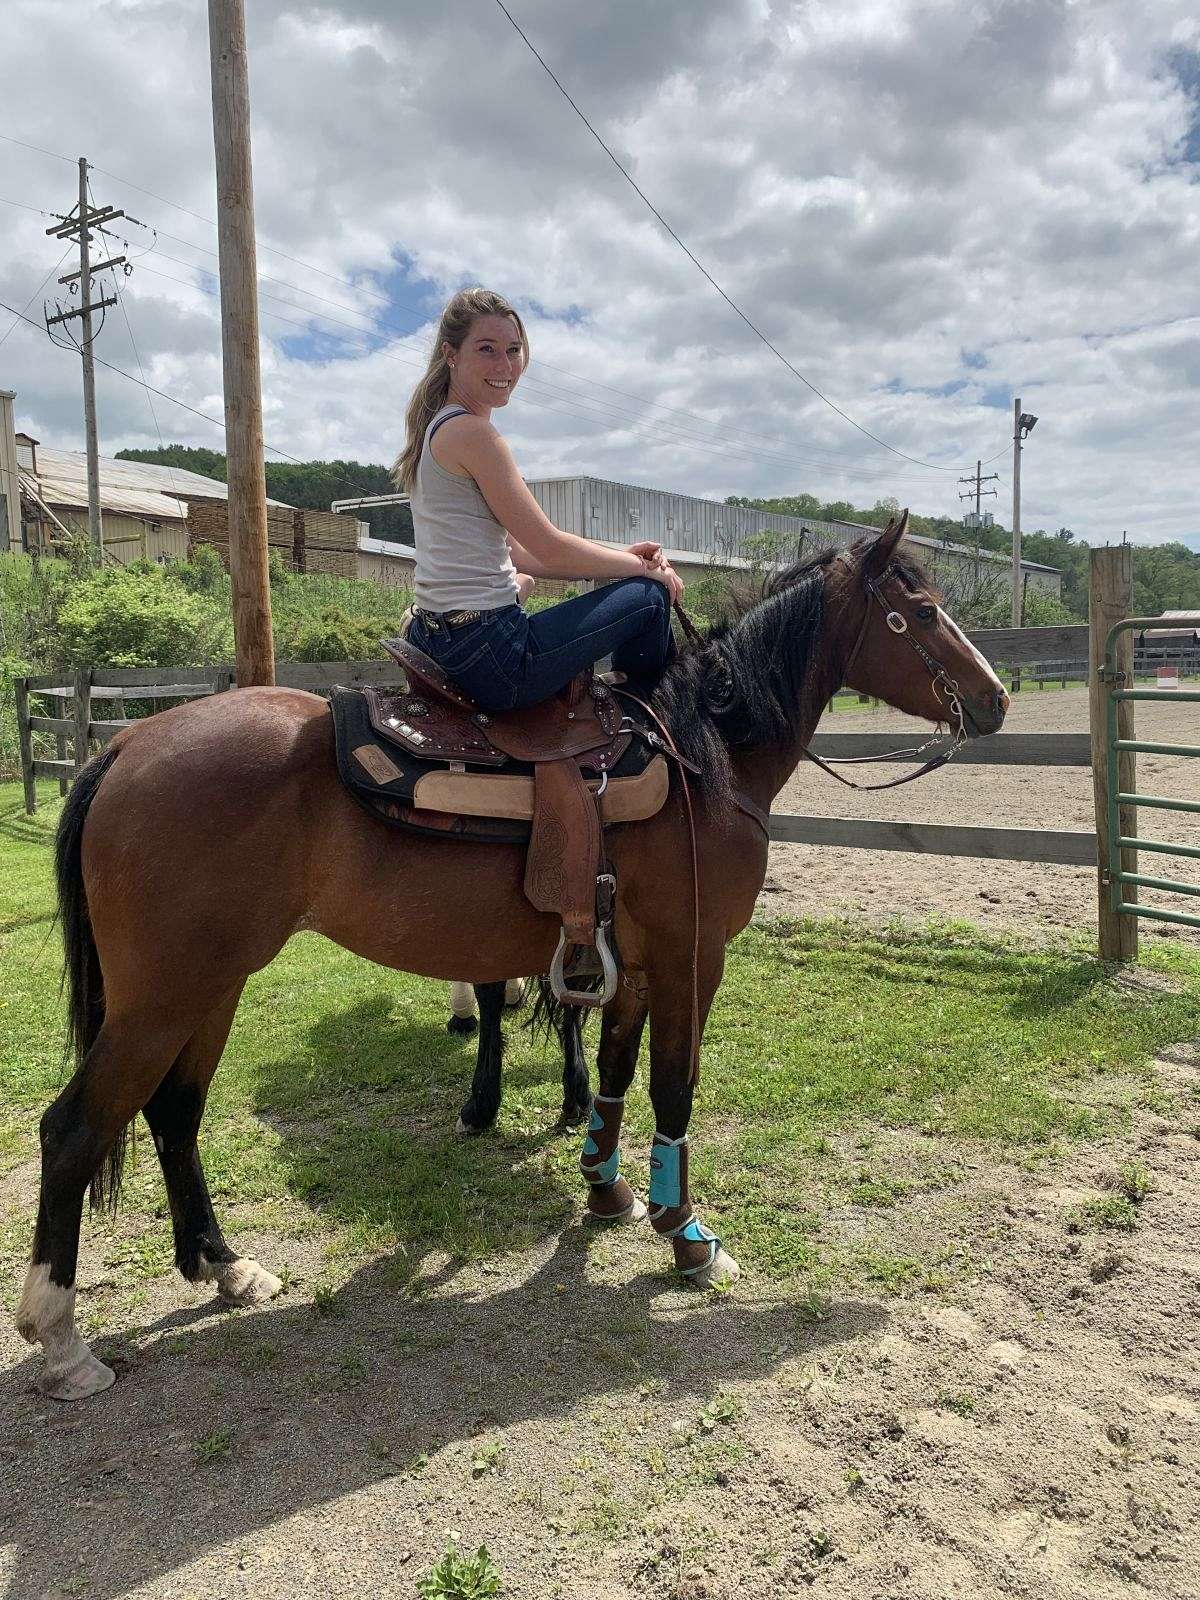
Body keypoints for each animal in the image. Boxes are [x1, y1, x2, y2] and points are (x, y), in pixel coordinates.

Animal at [15, 514, 1008, 1399]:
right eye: (922, 611)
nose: (996, 699)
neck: (703, 753)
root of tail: (127, 743)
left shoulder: (633, 965)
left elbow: (615, 1072)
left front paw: (607, 1190)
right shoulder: (694, 957)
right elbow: (674, 1087)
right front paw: (685, 1233)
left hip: (209, 987)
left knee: (173, 1115)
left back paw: (226, 1267)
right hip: (163, 997)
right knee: (74, 1130)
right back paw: (62, 1343)